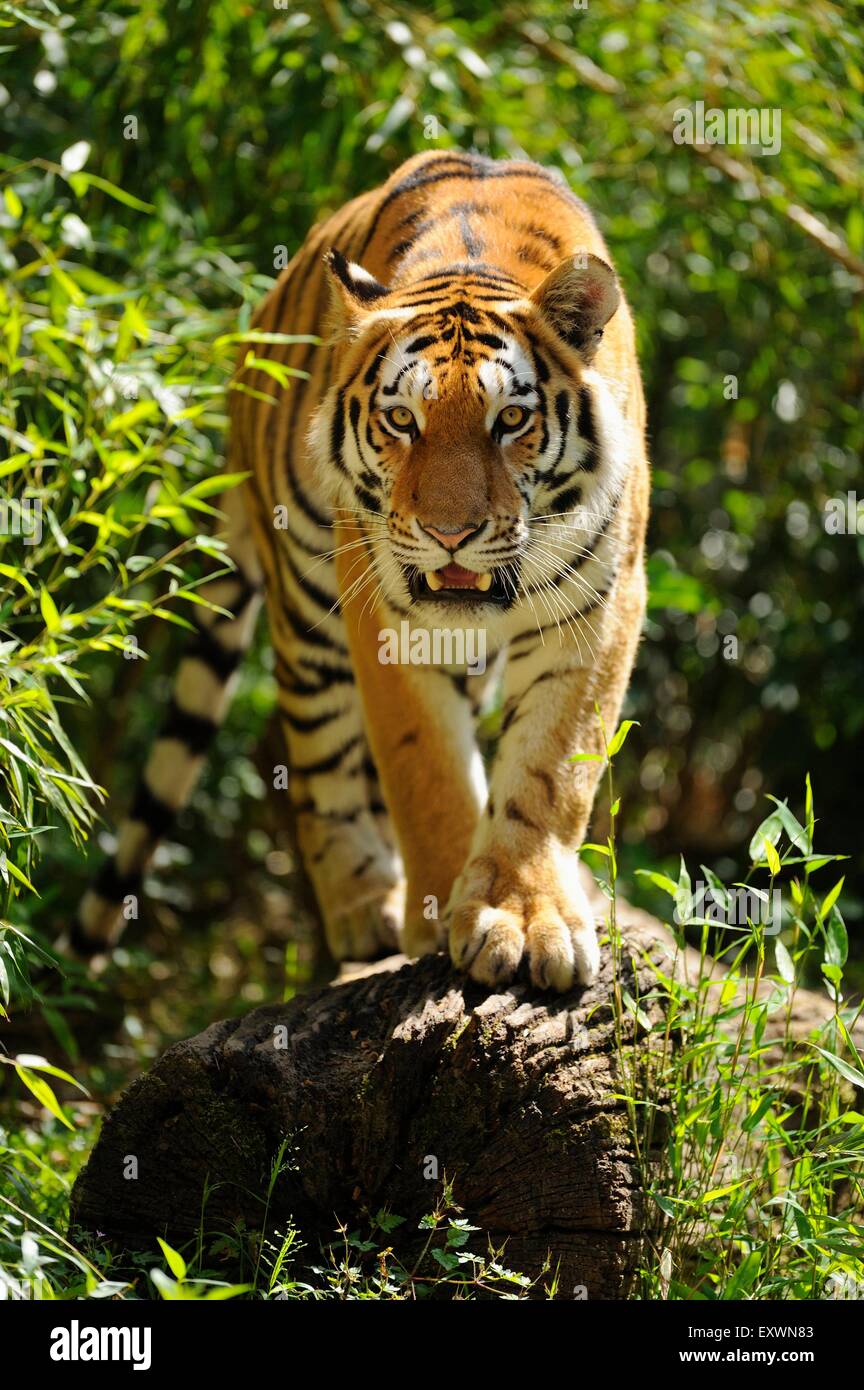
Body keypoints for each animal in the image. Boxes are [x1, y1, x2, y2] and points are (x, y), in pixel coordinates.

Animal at [75, 150, 649, 993]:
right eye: (402, 420)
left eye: (510, 420)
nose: (450, 534)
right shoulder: (387, 615)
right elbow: (427, 774)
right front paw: (445, 916)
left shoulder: (597, 606)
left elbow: (549, 771)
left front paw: (525, 913)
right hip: (308, 608)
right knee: (325, 765)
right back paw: (363, 908)